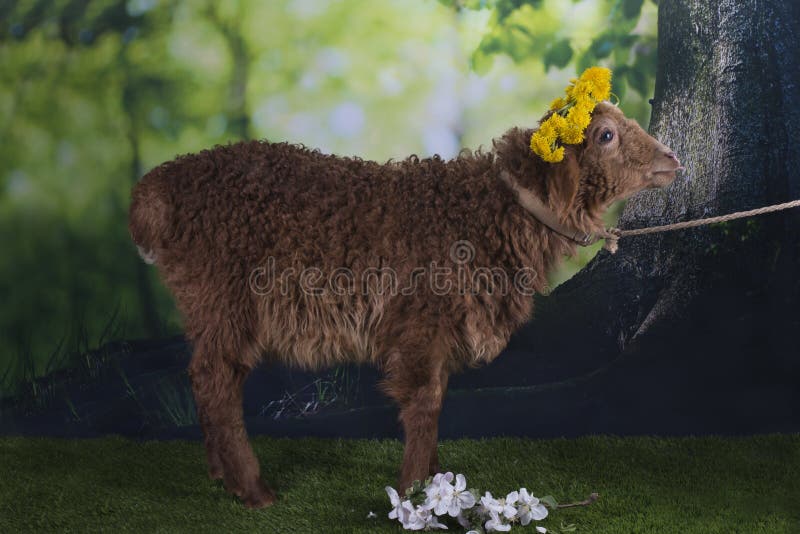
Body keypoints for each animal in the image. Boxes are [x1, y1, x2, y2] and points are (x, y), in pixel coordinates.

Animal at [128, 102, 682, 508]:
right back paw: (254, 490)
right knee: (217, 381)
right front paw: (416, 490)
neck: (486, 211)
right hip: (224, 297)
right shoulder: (421, 322)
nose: (673, 159)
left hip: (205, 305)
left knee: (203, 379)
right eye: (605, 135)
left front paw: (439, 481)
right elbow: (425, 401)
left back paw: (221, 476)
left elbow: (437, 398)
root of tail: (153, 194)